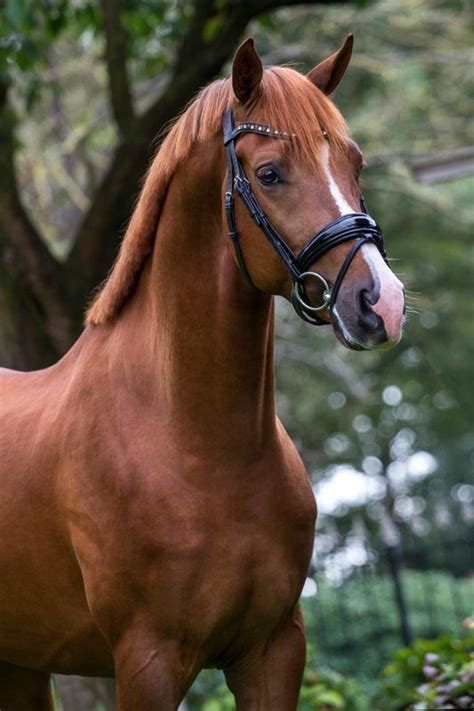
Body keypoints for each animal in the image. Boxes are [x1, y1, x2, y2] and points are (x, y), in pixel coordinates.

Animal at [0, 36, 405, 709]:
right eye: (269, 174)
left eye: (355, 163)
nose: (383, 303)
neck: (198, 444)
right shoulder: (149, 661)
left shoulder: (273, 652)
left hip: (23, 662)